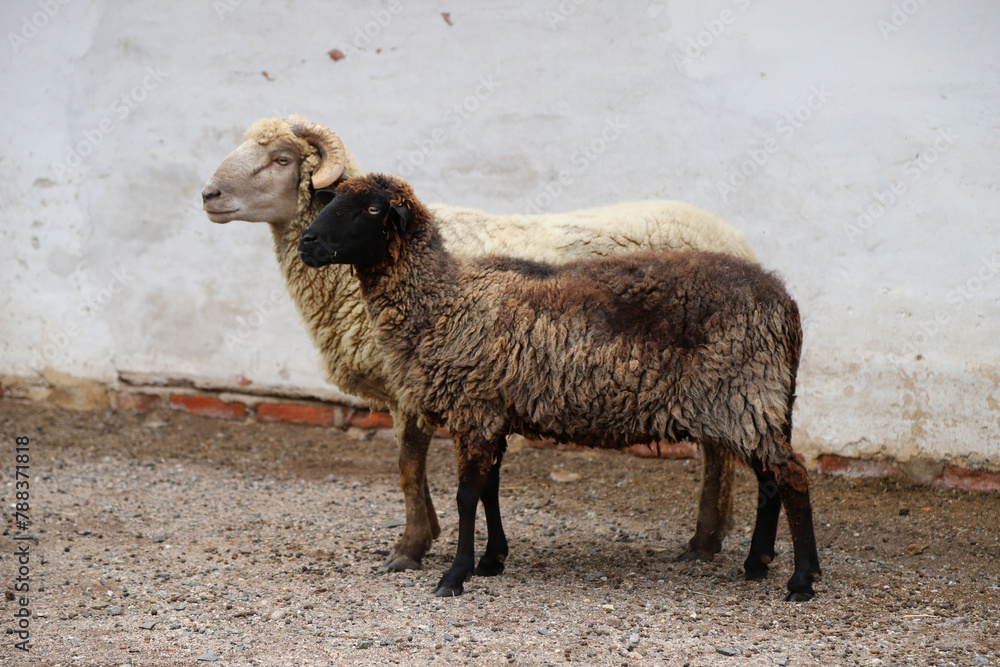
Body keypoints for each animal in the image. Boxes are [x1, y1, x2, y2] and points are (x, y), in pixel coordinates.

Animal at [202, 116, 755, 572]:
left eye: (282, 159)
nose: (208, 195)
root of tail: (735, 241)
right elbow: (416, 466)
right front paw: (430, 534)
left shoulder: (414, 384)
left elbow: (407, 464)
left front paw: (410, 547)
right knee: (717, 448)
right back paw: (709, 536)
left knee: (719, 452)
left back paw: (705, 539)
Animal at [297, 173, 822, 601]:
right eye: (332, 199)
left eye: (372, 210)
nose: (308, 241)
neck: (444, 298)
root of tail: (785, 302)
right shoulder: (496, 410)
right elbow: (489, 490)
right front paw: (491, 561)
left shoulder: (476, 408)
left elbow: (467, 495)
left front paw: (455, 576)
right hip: (755, 403)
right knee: (771, 480)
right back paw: (757, 565)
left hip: (744, 395)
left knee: (792, 476)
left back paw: (801, 580)